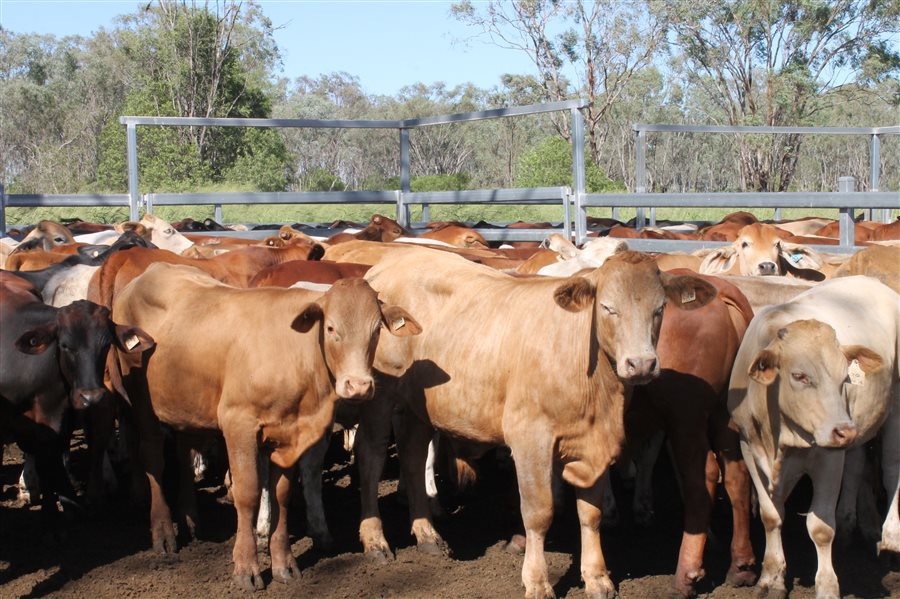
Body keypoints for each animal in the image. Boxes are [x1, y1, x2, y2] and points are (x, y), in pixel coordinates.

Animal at [110, 263, 421, 590]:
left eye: (377, 330)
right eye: (331, 328)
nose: (359, 386)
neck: (295, 354)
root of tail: (151, 271)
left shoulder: (290, 435)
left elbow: (281, 496)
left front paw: (284, 564)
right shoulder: (239, 425)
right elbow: (247, 494)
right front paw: (246, 567)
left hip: (186, 406)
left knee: (183, 455)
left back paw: (192, 519)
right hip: (142, 402)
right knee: (153, 458)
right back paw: (163, 533)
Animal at [358, 248, 717, 598]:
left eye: (660, 308)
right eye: (607, 307)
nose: (641, 364)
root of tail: (389, 262)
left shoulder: (595, 442)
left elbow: (591, 513)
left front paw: (597, 577)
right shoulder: (530, 438)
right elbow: (538, 513)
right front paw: (537, 581)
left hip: (418, 406)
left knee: (413, 455)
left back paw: (427, 534)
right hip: (378, 394)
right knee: (372, 457)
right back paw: (375, 540)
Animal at [728, 276, 899, 599]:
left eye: (845, 377)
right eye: (800, 376)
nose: (844, 430)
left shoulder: (827, 457)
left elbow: (820, 529)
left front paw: (827, 586)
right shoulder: (748, 446)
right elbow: (771, 516)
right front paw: (771, 577)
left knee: (892, 470)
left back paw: (891, 537)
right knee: (856, 467)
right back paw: (847, 524)